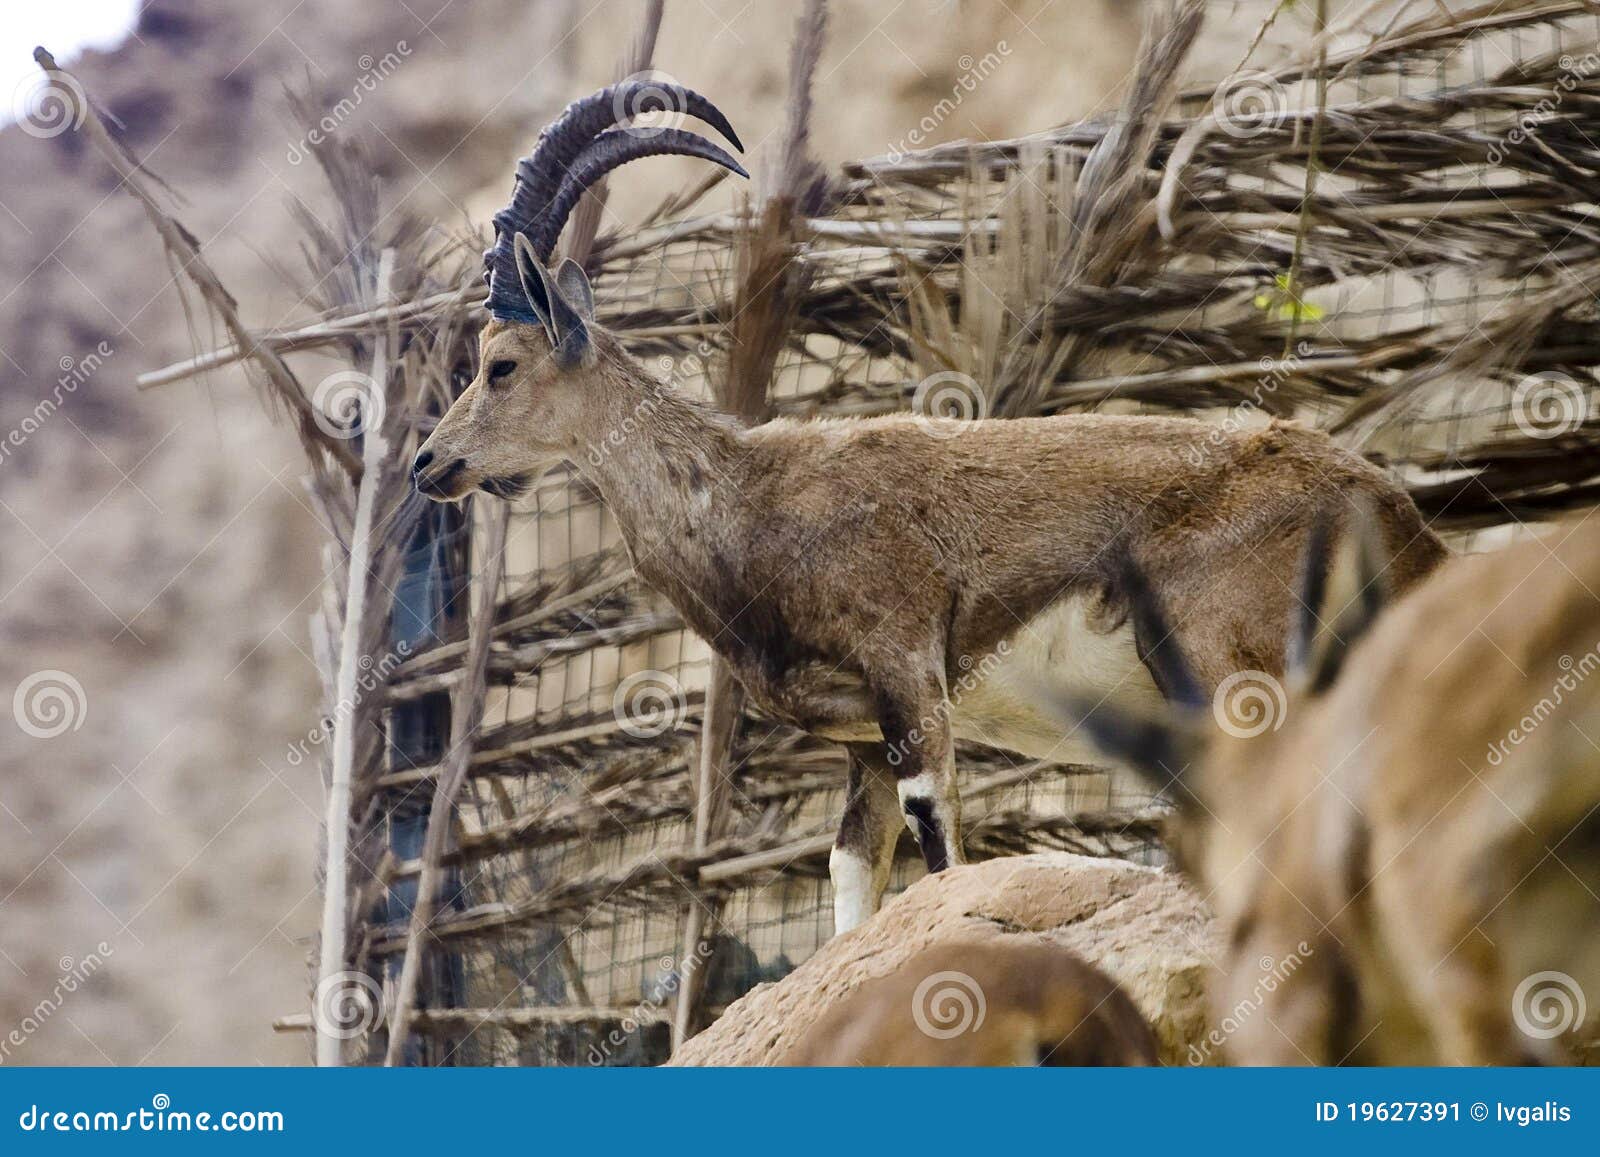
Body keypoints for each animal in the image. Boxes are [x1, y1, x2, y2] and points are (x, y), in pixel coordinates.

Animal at [413, 83, 1448, 934]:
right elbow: (852, 869)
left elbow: (940, 842)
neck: (751, 501)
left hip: (1227, 659)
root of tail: (1397, 517)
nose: (430, 464)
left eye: (501, 363)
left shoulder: (907, 666)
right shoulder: (863, 736)